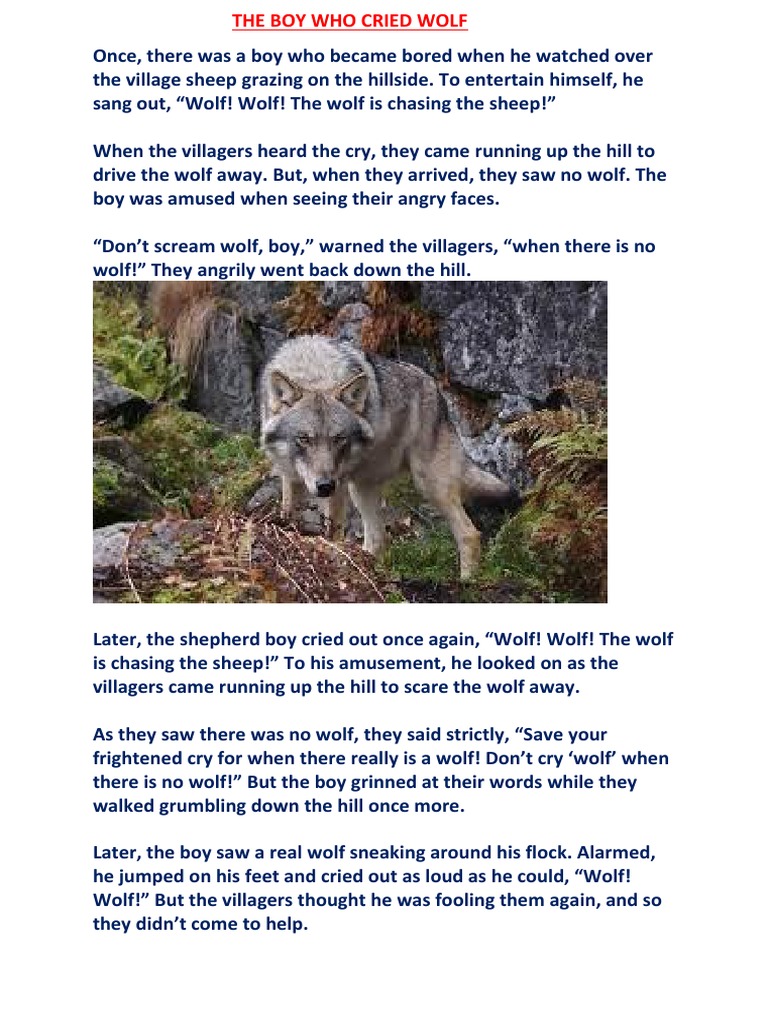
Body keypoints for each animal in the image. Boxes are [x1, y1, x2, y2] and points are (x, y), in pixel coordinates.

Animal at [260, 335, 516, 579]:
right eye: (303, 438)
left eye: (339, 439)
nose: (325, 485)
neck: (315, 372)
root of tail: (435, 389)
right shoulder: (291, 475)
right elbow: (287, 511)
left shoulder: (339, 483)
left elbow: (333, 531)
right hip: (361, 487)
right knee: (378, 539)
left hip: (426, 485)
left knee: (469, 534)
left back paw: (467, 582)